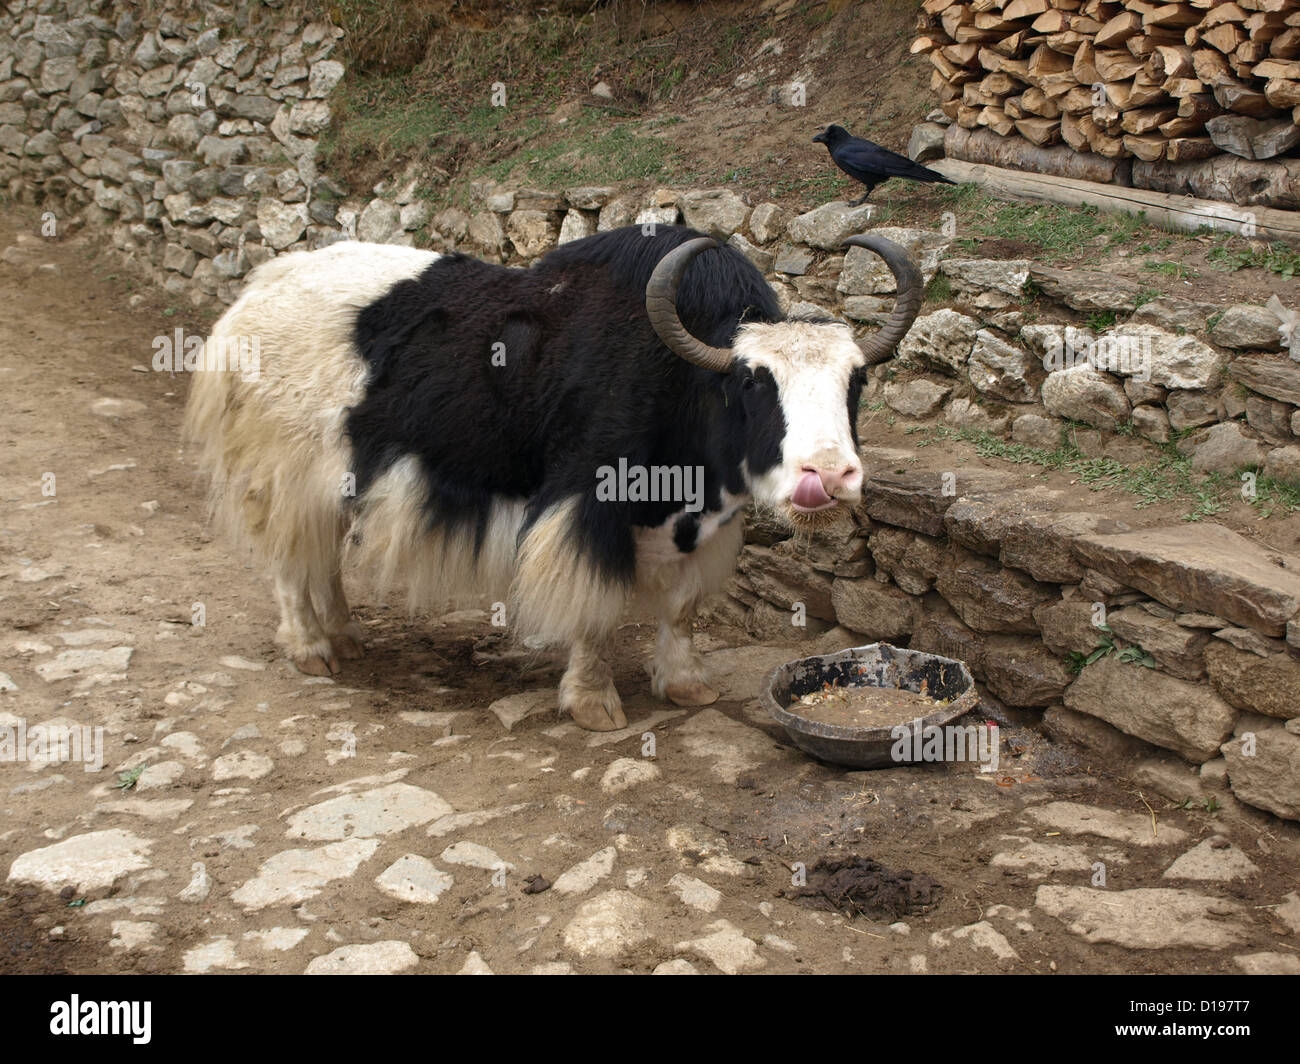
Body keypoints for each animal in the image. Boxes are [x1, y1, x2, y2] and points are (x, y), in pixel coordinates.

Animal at [183, 223, 922, 730]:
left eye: (856, 380)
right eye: (751, 381)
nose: (829, 475)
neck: (682, 382)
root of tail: (259, 289)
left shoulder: (702, 528)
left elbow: (682, 608)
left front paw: (686, 686)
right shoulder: (587, 509)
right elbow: (594, 606)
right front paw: (594, 704)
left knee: (324, 554)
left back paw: (345, 636)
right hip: (284, 467)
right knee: (289, 556)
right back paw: (312, 649)